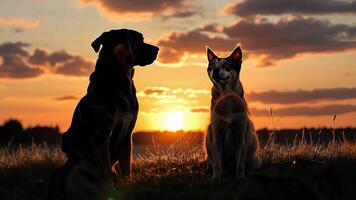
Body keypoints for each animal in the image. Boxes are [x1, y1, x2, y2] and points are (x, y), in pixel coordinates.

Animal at [48, 28, 159, 199]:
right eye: (134, 40)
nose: (157, 49)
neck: (119, 79)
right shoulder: (101, 134)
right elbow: (105, 170)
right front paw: (111, 193)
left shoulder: (127, 136)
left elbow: (126, 168)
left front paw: (128, 188)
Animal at [204, 46, 260, 180]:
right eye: (212, 65)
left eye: (226, 65)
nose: (215, 70)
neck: (226, 96)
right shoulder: (216, 136)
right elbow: (217, 164)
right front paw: (216, 178)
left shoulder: (240, 137)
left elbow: (240, 165)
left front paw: (240, 178)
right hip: (209, 133)